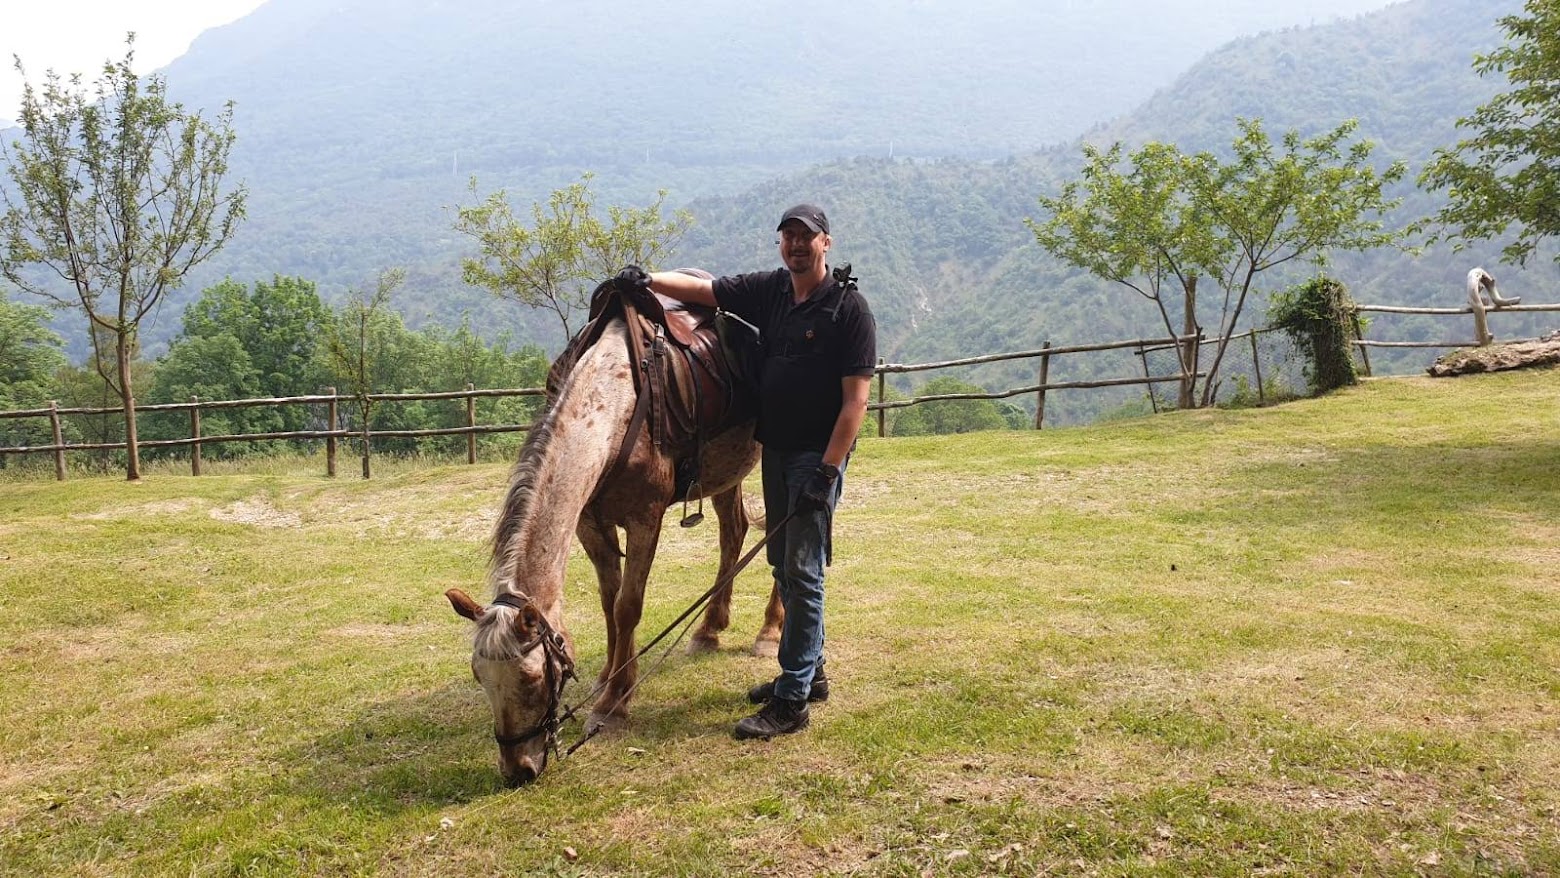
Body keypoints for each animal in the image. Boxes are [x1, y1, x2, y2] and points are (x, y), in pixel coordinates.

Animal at [445, 277, 782, 787]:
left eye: (531, 679)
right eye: (478, 676)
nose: (518, 770)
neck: (617, 404)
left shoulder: (645, 520)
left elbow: (628, 606)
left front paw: (614, 701)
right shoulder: (590, 525)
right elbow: (609, 602)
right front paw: (609, 674)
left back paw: (769, 632)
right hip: (727, 471)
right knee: (734, 533)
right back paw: (708, 630)